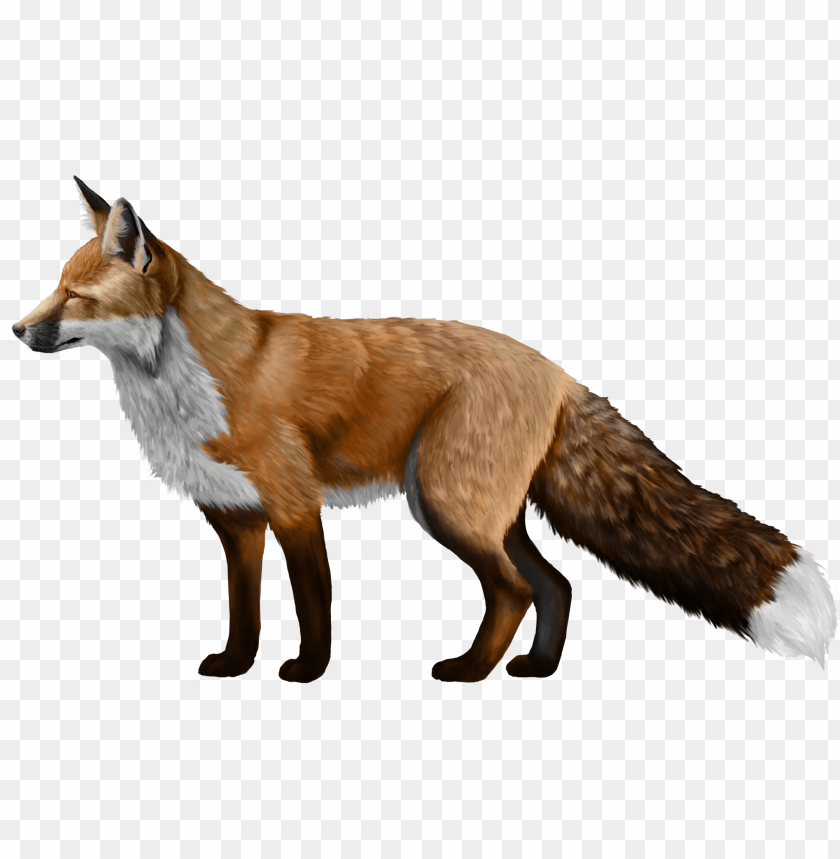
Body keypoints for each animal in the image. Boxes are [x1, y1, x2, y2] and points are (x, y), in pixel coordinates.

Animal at [13, 177, 837, 682]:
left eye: (77, 297)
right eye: (55, 287)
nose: (18, 330)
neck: (185, 383)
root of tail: (557, 370)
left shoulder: (293, 504)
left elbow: (314, 601)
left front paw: (308, 672)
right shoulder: (235, 517)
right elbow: (244, 609)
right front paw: (236, 665)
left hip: (446, 504)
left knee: (515, 589)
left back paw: (470, 671)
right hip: (480, 510)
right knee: (557, 584)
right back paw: (535, 670)